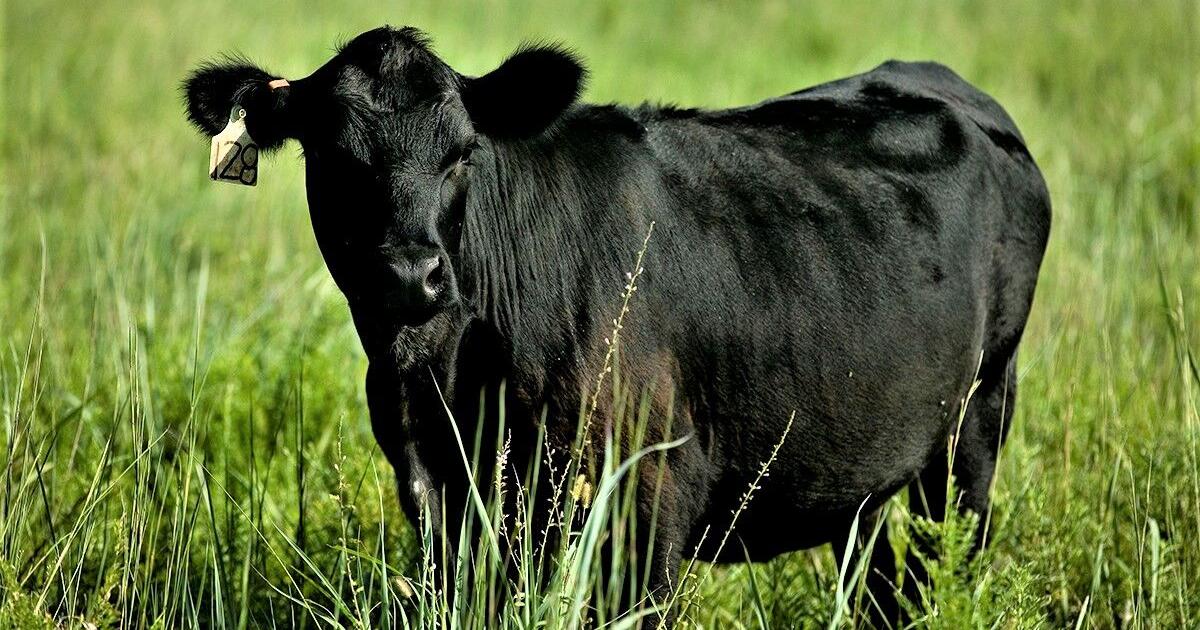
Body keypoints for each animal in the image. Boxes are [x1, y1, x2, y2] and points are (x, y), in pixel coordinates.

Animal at [184, 25, 1050, 624]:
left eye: (463, 152)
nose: (408, 274)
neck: (458, 378)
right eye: (333, 158)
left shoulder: (649, 498)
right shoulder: (438, 497)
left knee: (951, 557)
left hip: (978, 419)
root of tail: (942, 82)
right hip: (863, 461)